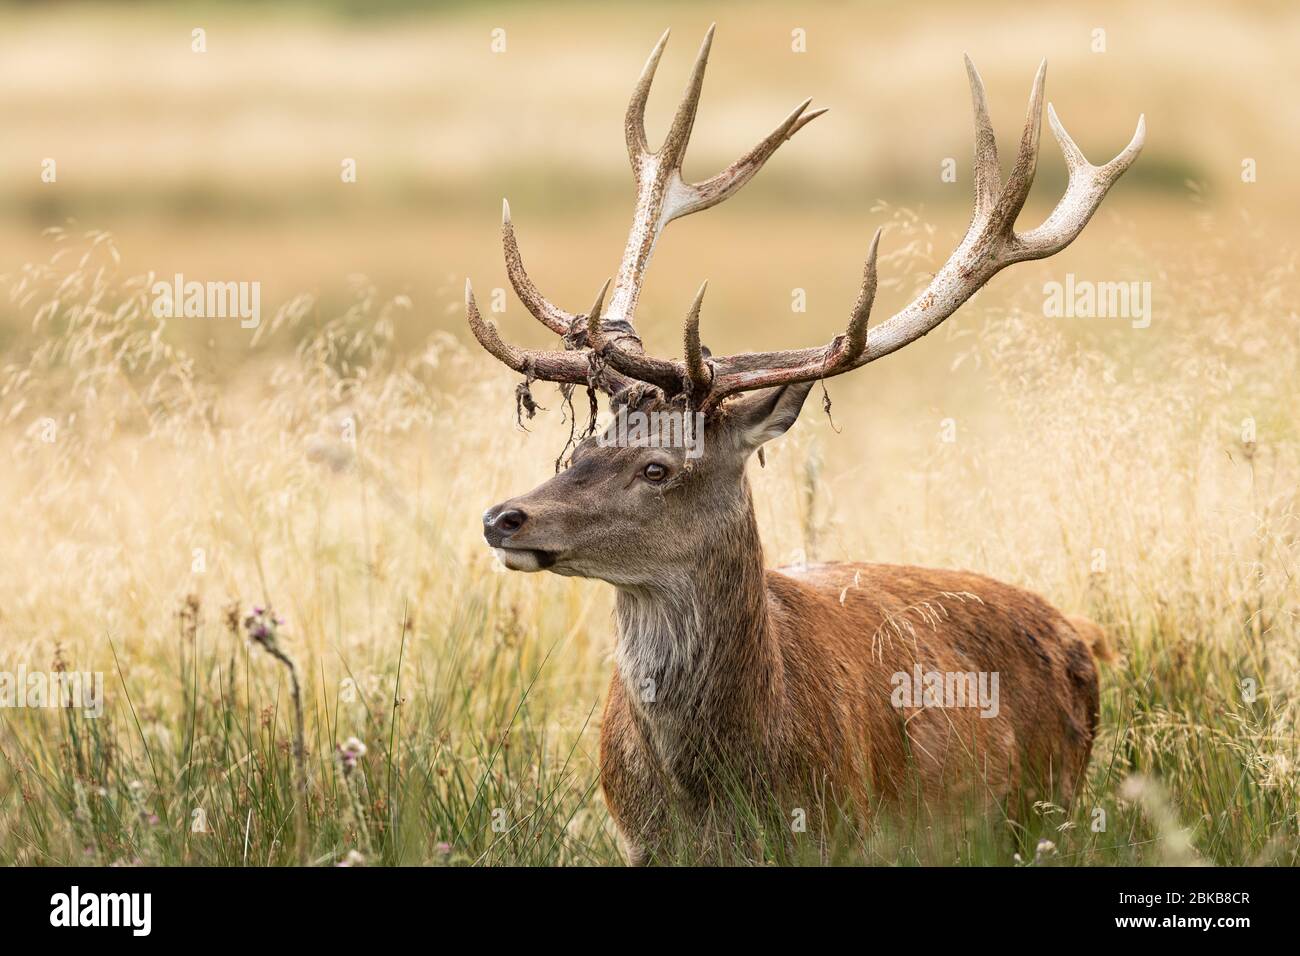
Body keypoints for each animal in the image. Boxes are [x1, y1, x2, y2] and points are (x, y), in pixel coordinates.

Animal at [467, 25, 1142, 864]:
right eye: (579, 448)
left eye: (658, 467)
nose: (504, 517)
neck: (720, 795)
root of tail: (1082, 631)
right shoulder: (635, 839)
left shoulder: (841, 829)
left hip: (1046, 810)